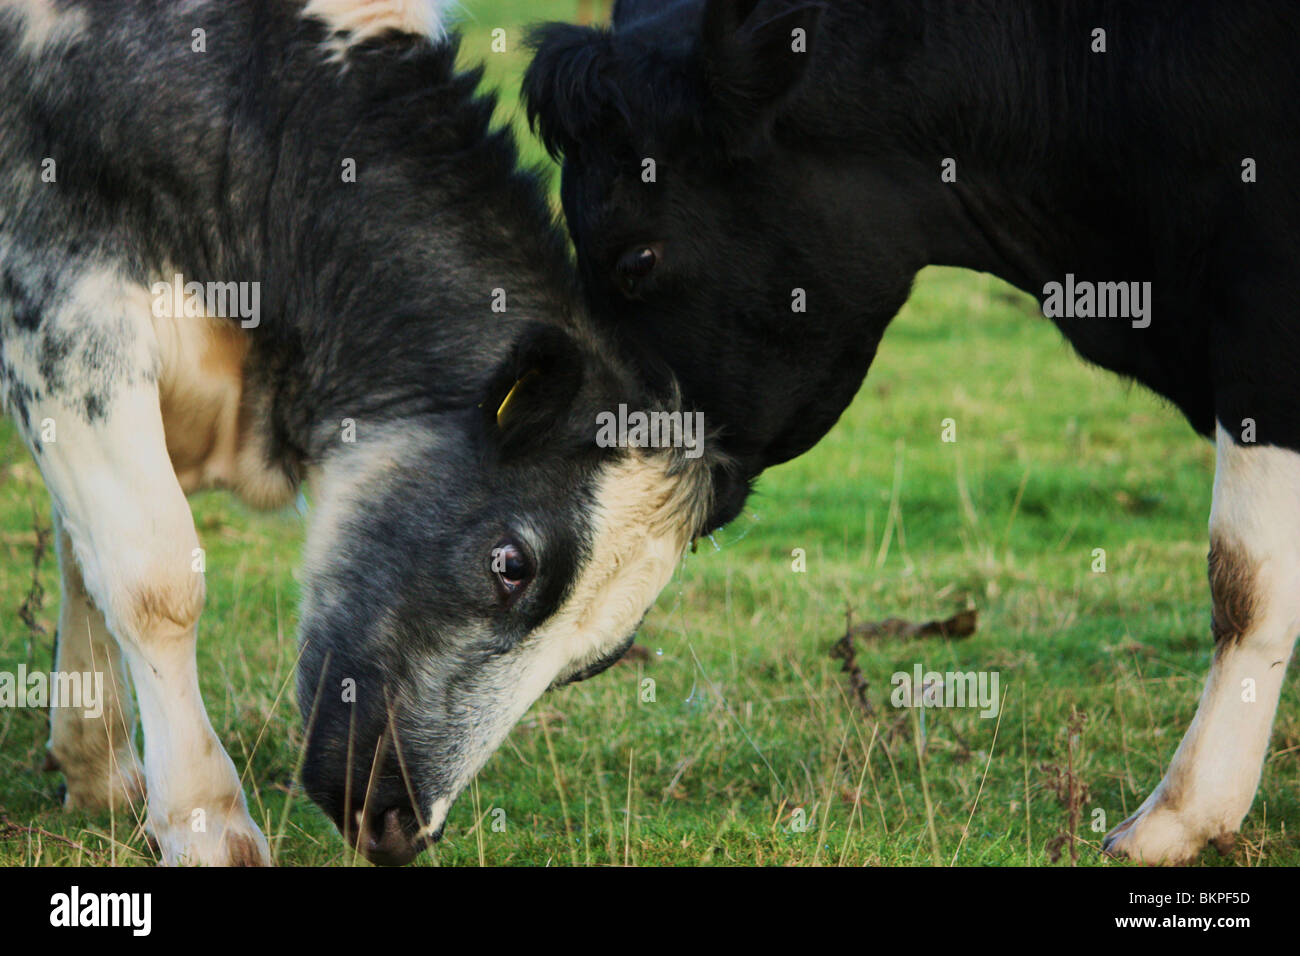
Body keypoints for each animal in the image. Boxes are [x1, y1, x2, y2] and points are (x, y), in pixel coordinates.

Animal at [0, 0, 715, 866]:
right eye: (511, 563)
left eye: (596, 662)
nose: (405, 822)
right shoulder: (64, 304)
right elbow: (154, 581)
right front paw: (206, 819)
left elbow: (84, 560)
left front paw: (97, 769)